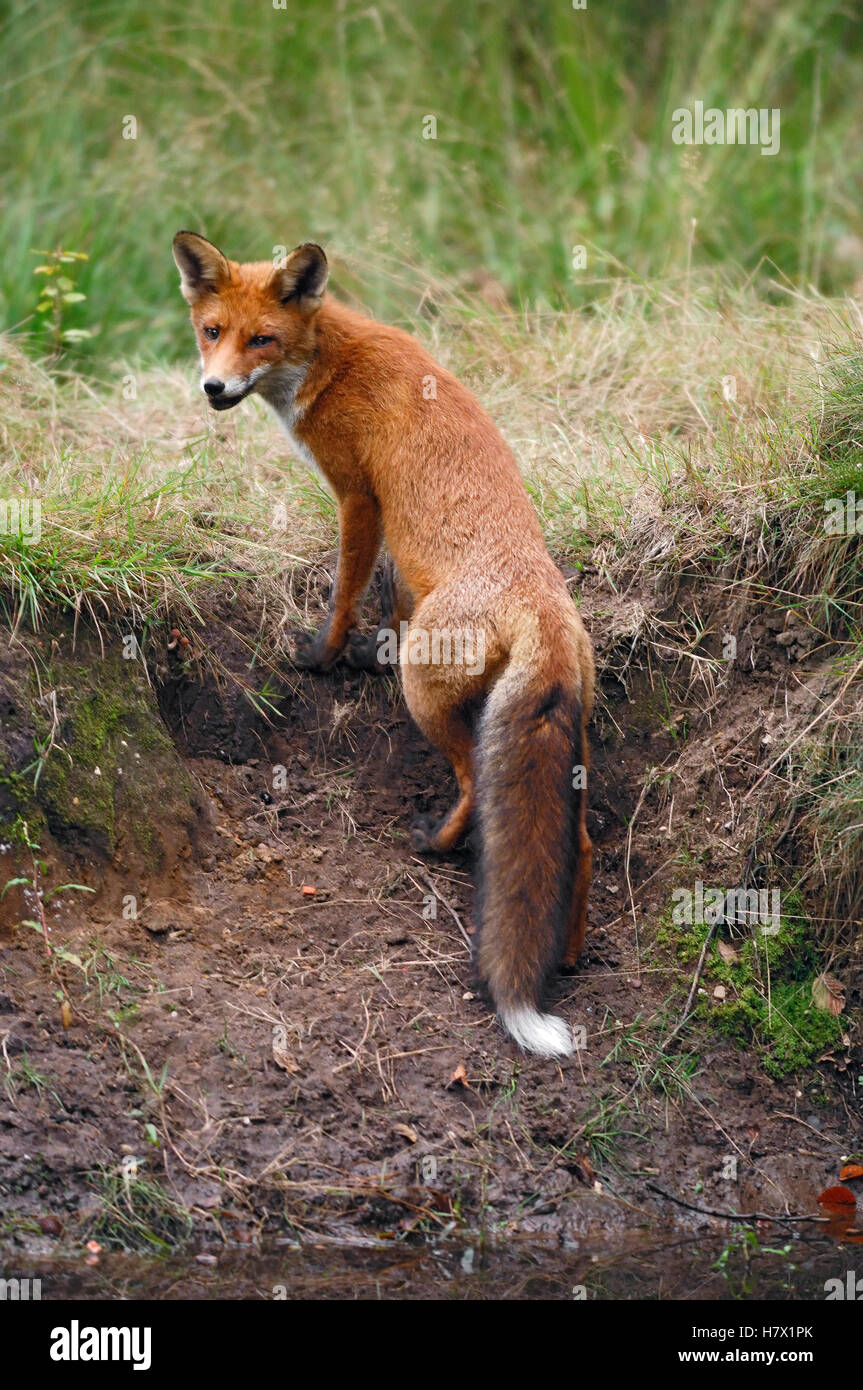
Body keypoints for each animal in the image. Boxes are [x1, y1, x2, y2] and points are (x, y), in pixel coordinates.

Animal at [172, 231, 595, 1058]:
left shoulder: (357, 497)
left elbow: (343, 592)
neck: (328, 360)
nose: (213, 388)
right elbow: (391, 598)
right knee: (582, 847)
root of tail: (541, 605)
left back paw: (435, 844)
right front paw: (370, 645)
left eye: (260, 339)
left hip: (428, 703)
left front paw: (322, 656)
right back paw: (565, 957)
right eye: (212, 331)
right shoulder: (396, 544)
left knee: (472, 783)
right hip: (571, 743)